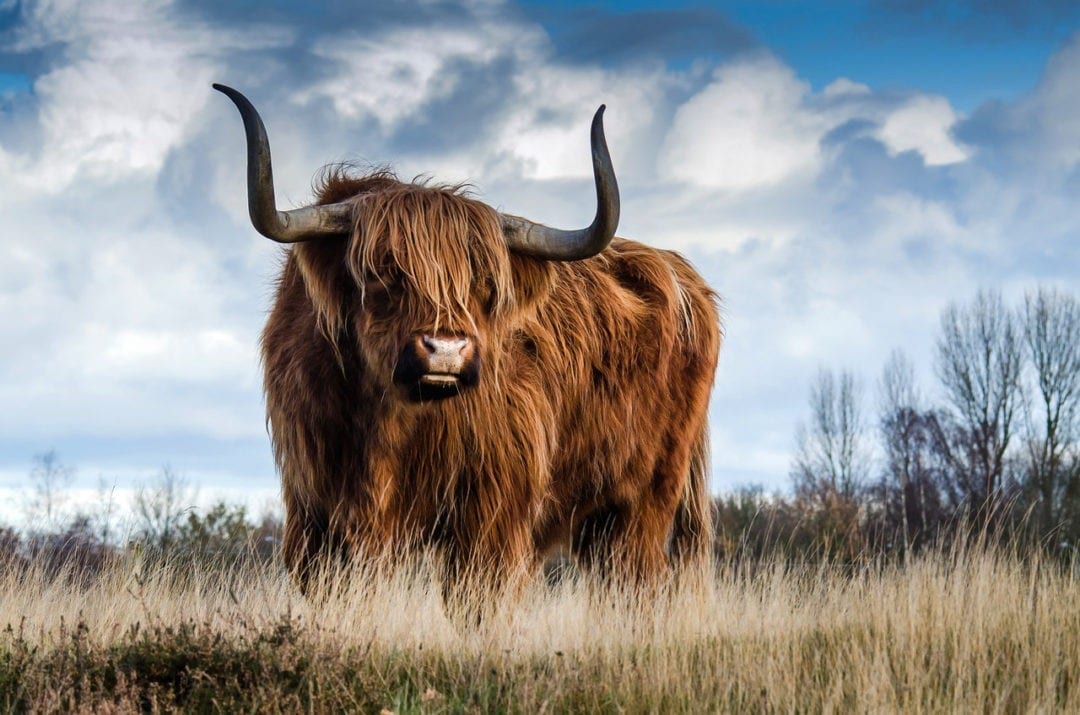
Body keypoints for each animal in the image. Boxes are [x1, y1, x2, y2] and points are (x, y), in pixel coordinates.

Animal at [214, 84, 721, 606]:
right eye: (381, 272)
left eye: (484, 283)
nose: (446, 349)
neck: (387, 424)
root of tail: (682, 274)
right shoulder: (315, 512)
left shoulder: (492, 513)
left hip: (643, 501)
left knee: (639, 583)